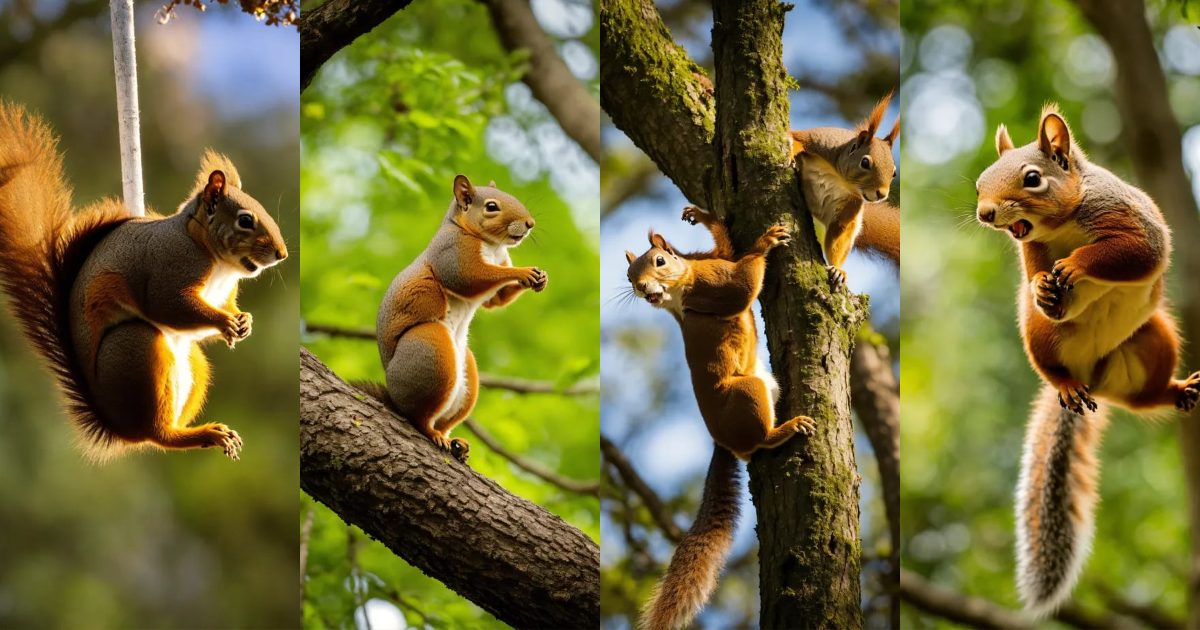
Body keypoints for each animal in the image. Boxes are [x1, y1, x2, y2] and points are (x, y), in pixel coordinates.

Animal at [0, 103, 288, 462]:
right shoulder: (170, 269)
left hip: (195, 365)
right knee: (159, 435)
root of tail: (120, 428)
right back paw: (203, 433)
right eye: (246, 220)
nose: (282, 254)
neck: (218, 262)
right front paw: (226, 323)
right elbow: (169, 305)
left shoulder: (223, 294)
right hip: (137, 350)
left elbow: (220, 313)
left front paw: (244, 321)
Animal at [364, 175, 546, 463]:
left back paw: (454, 442)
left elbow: (497, 299)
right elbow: (470, 277)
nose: (530, 224)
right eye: (491, 207)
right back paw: (433, 434)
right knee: (420, 419)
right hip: (430, 347)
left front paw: (540, 278)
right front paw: (524, 271)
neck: (492, 246)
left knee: (444, 420)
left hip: (467, 376)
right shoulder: (452, 252)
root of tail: (395, 399)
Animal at [624, 205, 814, 630]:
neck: (685, 281)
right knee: (758, 441)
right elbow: (743, 285)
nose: (642, 289)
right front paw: (765, 241)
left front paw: (700, 214)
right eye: (628, 277)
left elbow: (726, 247)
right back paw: (784, 430)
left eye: (659, 261)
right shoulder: (714, 288)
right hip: (748, 392)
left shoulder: (711, 262)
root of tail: (721, 440)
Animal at [788, 90, 900, 284]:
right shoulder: (818, 140)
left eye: (894, 172)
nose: (882, 194)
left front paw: (837, 269)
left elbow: (838, 234)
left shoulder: (850, 206)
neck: (841, 178)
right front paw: (790, 152)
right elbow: (796, 139)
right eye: (865, 162)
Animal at [975, 104, 1200, 616]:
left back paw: (1175, 391)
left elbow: (1132, 253)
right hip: (1039, 337)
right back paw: (1064, 383)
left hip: (1153, 340)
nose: (985, 213)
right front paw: (1044, 287)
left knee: (1143, 399)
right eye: (979, 184)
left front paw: (1077, 265)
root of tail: (1093, 376)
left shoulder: (1128, 221)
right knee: (1054, 363)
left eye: (1032, 178)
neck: (1062, 224)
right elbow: (1037, 275)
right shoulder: (1031, 249)